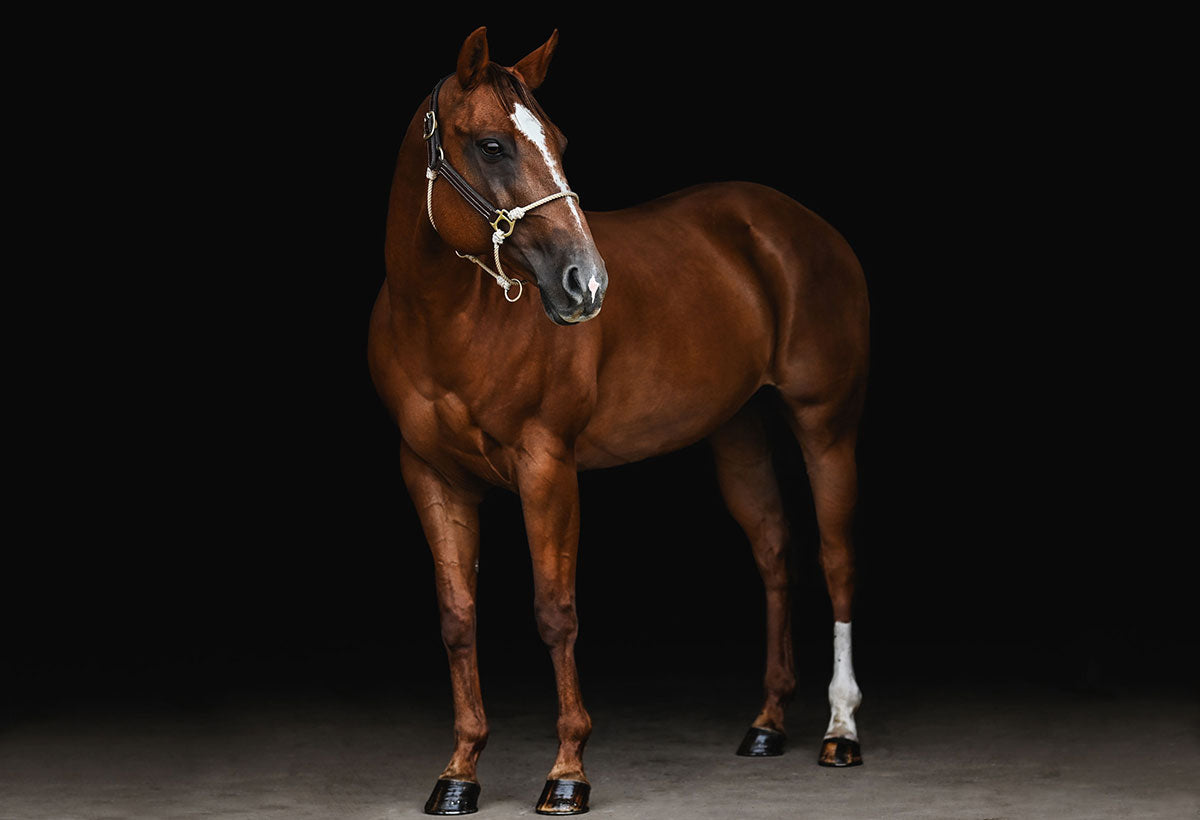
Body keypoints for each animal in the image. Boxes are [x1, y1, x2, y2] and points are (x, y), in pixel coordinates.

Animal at [368, 27, 869, 816]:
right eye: (490, 145)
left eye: (560, 141)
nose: (587, 283)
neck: (448, 319)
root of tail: (798, 224)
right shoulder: (430, 475)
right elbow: (456, 618)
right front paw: (459, 772)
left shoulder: (548, 465)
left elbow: (555, 611)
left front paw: (568, 771)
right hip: (738, 430)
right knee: (773, 552)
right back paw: (766, 723)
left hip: (827, 425)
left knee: (837, 557)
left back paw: (840, 730)